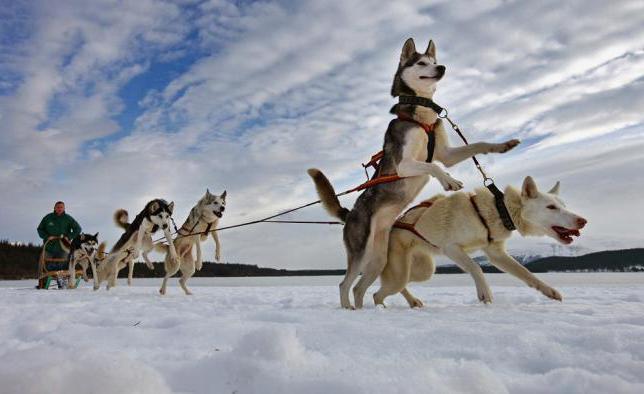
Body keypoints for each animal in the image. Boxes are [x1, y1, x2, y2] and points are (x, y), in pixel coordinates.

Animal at [310, 37, 520, 308]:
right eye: (421, 63)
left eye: (434, 60)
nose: (441, 67)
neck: (422, 116)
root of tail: (350, 213)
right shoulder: (405, 164)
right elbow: (433, 166)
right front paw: (449, 181)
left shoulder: (447, 154)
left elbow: (477, 145)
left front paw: (503, 145)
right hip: (361, 252)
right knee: (344, 285)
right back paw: (348, 310)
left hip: (378, 259)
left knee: (359, 288)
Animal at [372, 176, 588, 308]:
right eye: (551, 207)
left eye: (564, 205)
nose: (583, 221)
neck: (498, 210)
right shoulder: (452, 248)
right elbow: (476, 268)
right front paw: (485, 294)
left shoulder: (496, 254)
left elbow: (527, 274)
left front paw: (549, 290)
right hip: (402, 272)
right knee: (379, 293)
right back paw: (381, 306)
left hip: (423, 270)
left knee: (398, 286)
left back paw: (412, 301)